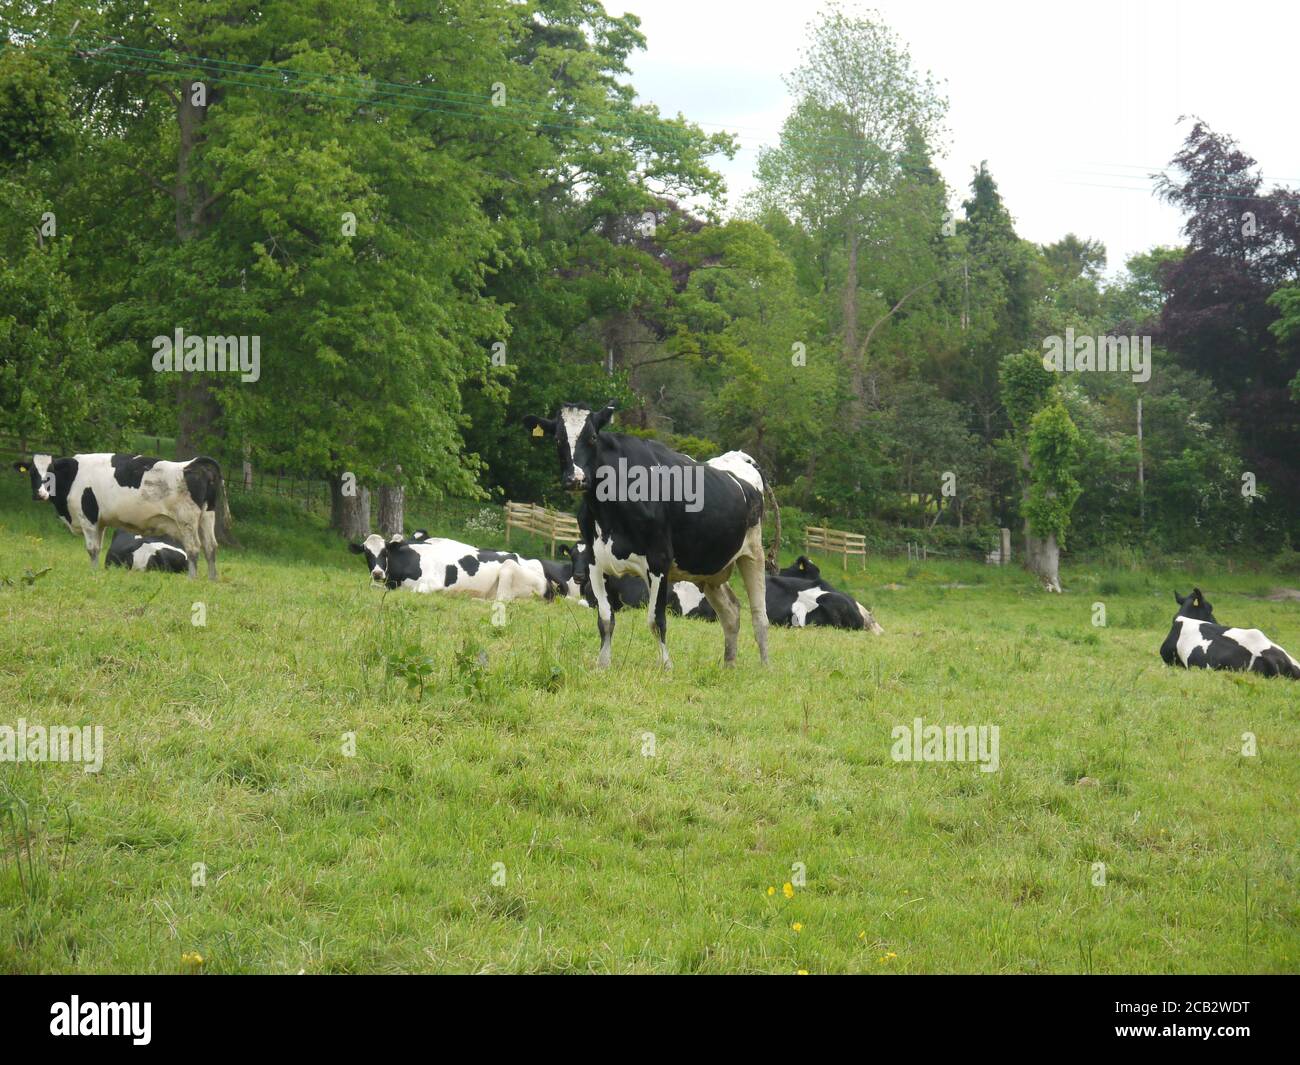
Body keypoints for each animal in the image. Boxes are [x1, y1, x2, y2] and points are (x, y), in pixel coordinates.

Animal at [14, 453, 225, 579]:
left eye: (51, 472)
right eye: (32, 472)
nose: (39, 494)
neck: (75, 476)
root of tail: (192, 464)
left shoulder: (88, 518)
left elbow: (91, 548)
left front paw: (92, 574)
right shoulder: (100, 522)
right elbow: (97, 549)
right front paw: (95, 571)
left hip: (186, 520)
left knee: (194, 548)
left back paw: (192, 579)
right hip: (207, 516)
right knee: (211, 547)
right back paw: (212, 579)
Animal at [348, 532, 549, 600]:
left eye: (385, 552)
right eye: (367, 553)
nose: (377, 572)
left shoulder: (432, 583)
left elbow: (415, 591)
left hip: (508, 568)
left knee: (502, 600)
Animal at [524, 403, 768, 669]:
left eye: (592, 437)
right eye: (558, 439)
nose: (575, 479)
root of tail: (738, 458)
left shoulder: (659, 561)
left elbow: (655, 620)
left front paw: (666, 666)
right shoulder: (594, 562)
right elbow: (605, 619)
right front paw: (602, 665)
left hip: (753, 553)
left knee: (760, 616)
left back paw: (766, 667)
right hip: (709, 571)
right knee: (731, 612)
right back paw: (729, 665)